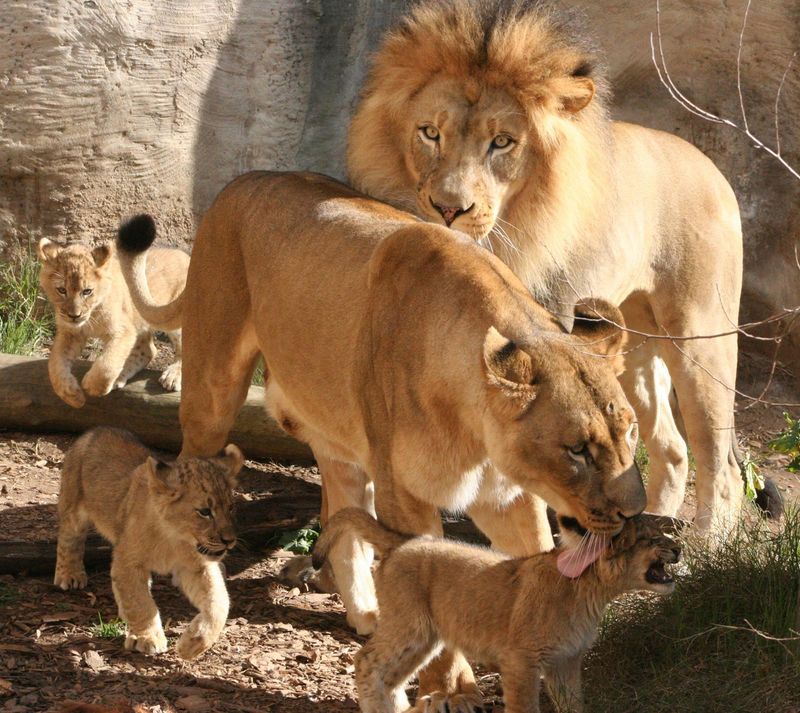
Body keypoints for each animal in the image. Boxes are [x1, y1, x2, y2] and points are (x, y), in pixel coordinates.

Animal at [37, 235, 188, 407]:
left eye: (87, 291)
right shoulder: (69, 333)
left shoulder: (123, 331)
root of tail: (185, 255)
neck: (91, 316)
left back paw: (173, 376)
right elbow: (55, 364)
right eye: (62, 290)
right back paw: (121, 374)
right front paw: (71, 395)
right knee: (147, 351)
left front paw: (91, 386)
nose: (74, 315)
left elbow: (107, 365)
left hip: (172, 316)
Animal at [54, 427, 243, 660]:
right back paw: (69, 575)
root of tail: (96, 430)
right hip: (73, 507)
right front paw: (148, 638)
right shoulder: (127, 562)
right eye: (205, 512)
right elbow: (140, 603)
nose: (229, 540)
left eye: (231, 507)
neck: (175, 538)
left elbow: (219, 601)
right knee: (69, 539)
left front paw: (194, 643)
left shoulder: (197, 567)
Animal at [119, 170, 646, 710]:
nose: (635, 512)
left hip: (339, 429)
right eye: (577, 450)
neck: (478, 434)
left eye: (631, 430)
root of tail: (244, 179)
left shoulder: (509, 499)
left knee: (343, 507)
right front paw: (452, 689)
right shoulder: (405, 498)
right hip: (213, 391)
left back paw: (366, 612)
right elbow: (433, 582)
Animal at [313, 508, 680, 713]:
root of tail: (405, 541)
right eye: (652, 539)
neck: (592, 592)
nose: (679, 547)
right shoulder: (521, 660)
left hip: (425, 639)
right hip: (408, 626)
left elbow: (574, 706)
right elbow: (524, 707)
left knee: (390, 675)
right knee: (366, 661)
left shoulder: (565, 663)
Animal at [347, 0, 745, 536]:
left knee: (720, 464)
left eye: (501, 143)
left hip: (701, 338)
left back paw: (708, 542)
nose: (449, 208)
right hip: (634, 343)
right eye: (430, 133)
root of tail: (711, 166)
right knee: (672, 448)